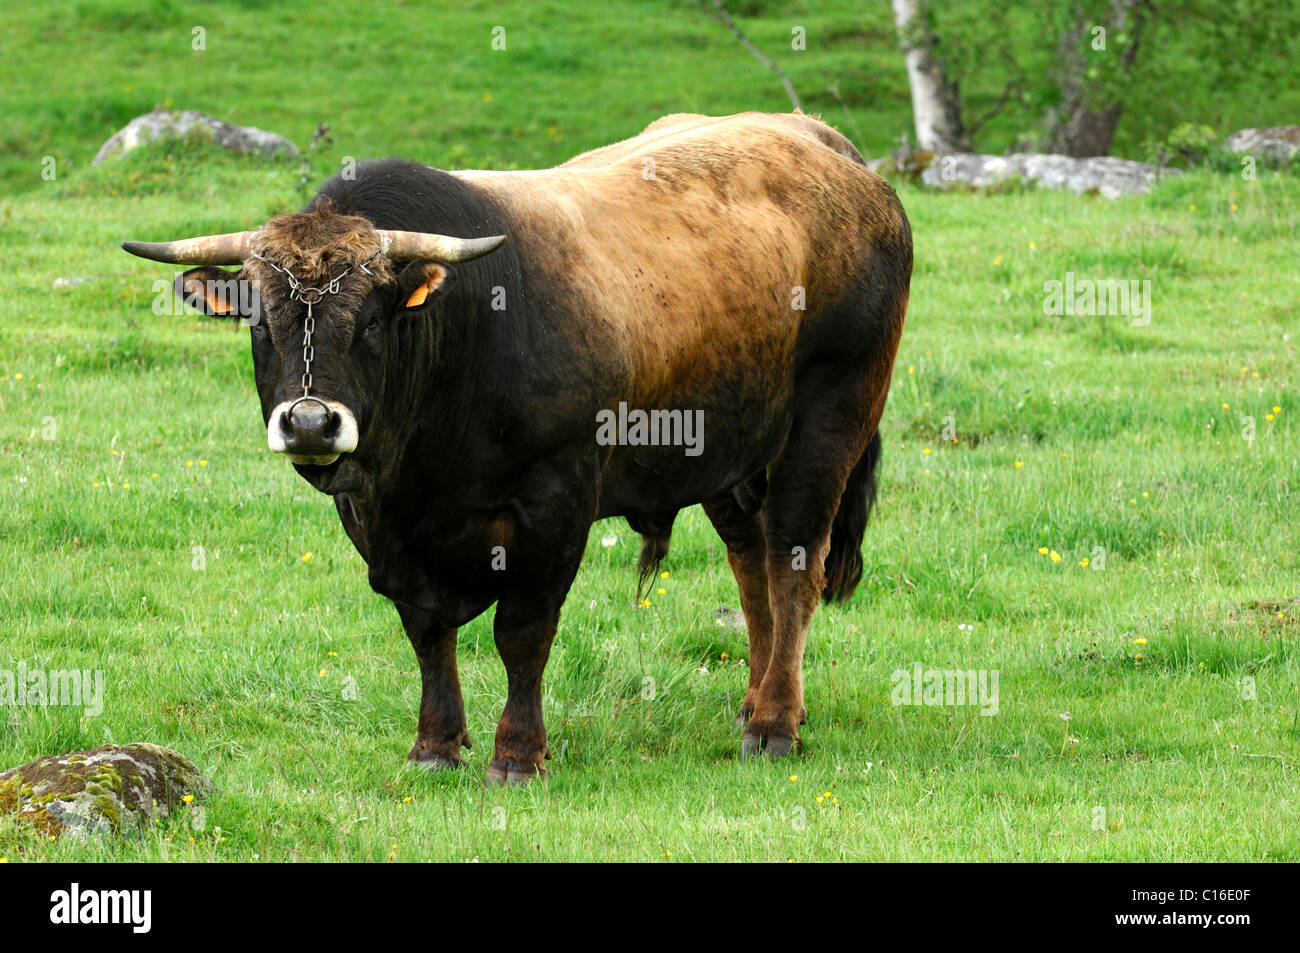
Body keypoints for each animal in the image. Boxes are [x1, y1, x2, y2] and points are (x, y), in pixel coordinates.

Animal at [121, 111, 912, 784]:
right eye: (261, 322)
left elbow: (522, 632)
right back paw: (757, 700)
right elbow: (426, 631)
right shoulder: (380, 526)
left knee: (792, 563)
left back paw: (774, 723)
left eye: (371, 320)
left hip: (829, 423)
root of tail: (827, 147)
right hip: (730, 452)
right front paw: (435, 744)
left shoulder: (554, 505)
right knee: (751, 568)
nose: (311, 424)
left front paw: (519, 753)